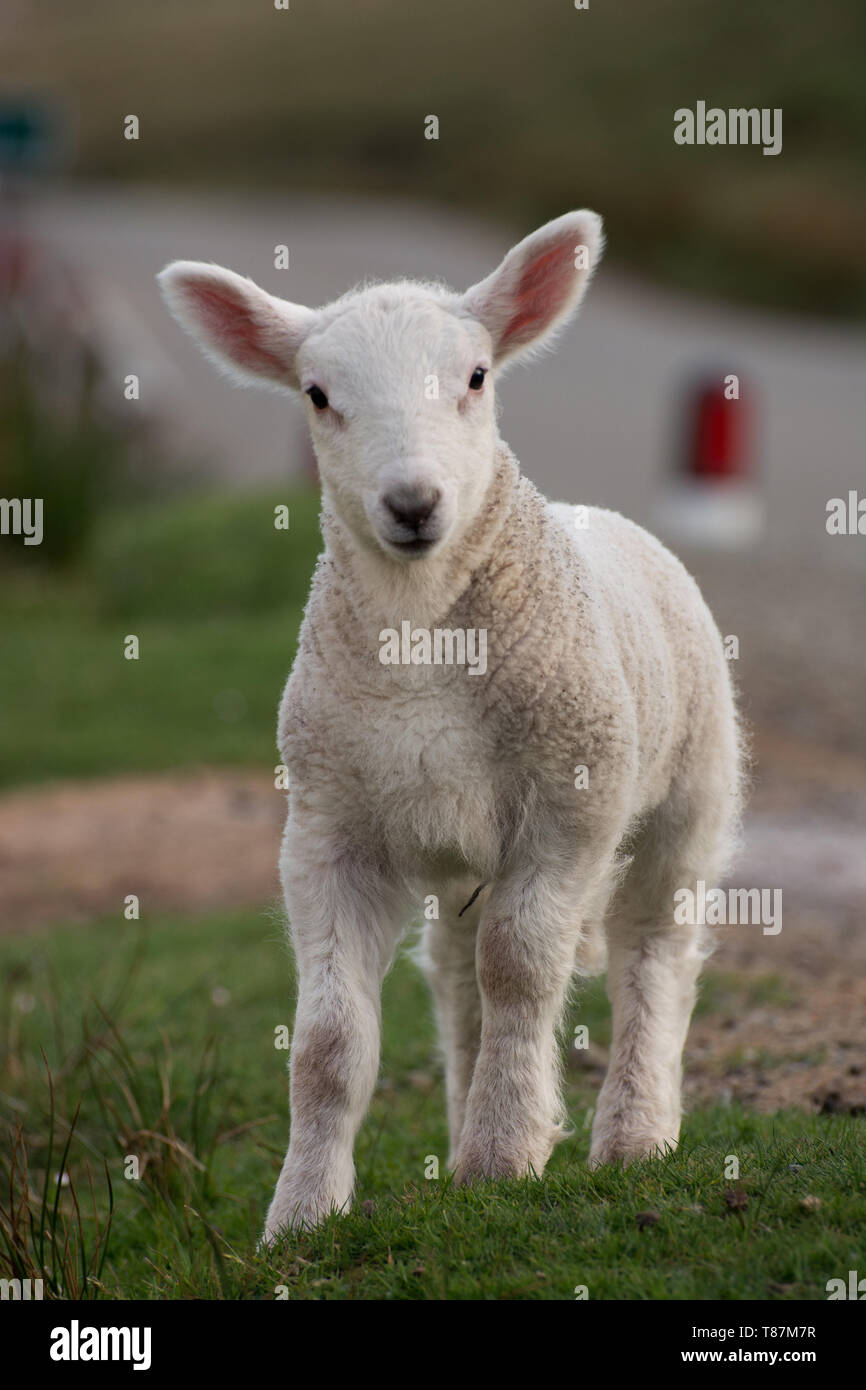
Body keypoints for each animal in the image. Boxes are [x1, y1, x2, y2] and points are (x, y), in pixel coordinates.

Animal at [157, 211, 742, 1245]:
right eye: (317, 396)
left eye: (475, 377)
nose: (413, 503)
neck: (421, 636)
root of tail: (595, 513)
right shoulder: (327, 830)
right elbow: (329, 1043)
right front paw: (301, 1216)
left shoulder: (569, 805)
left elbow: (522, 971)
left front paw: (505, 1157)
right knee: (457, 976)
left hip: (687, 794)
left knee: (652, 956)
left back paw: (633, 1135)